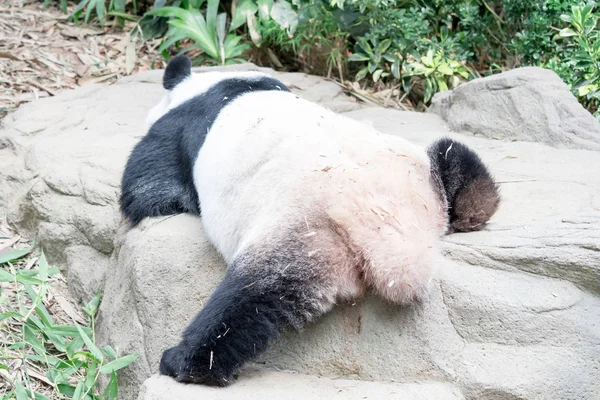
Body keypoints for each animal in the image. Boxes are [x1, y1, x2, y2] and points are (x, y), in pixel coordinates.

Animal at [119, 54, 500, 386]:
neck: (210, 84)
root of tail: (394, 235)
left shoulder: (177, 131)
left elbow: (147, 186)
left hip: (304, 237)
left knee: (248, 299)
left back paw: (186, 361)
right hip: (418, 171)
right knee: (453, 154)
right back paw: (474, 206)